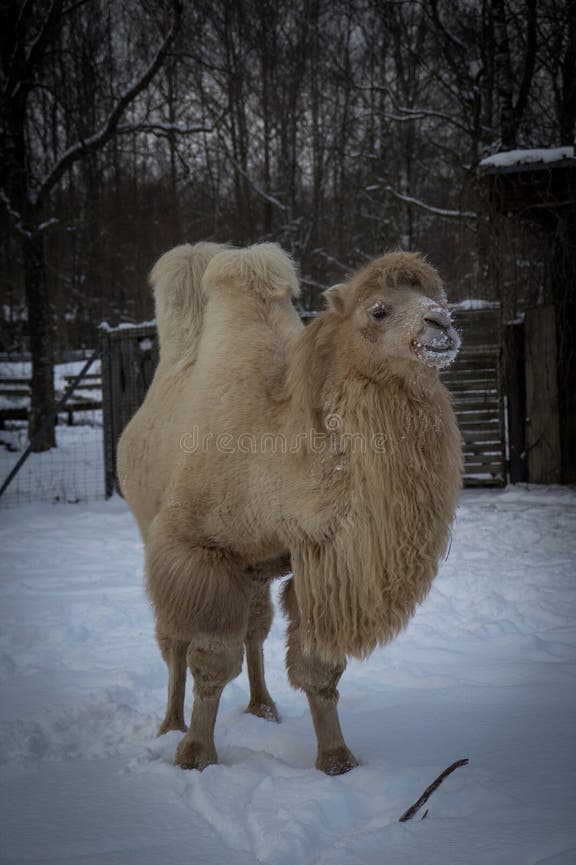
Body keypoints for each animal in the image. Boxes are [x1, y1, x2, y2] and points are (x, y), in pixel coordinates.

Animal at [117, 241, 463, 775]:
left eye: (440, 298)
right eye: (378, 310)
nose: (440, 324)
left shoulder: (316, 556)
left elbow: (319, 668)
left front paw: (337, 759)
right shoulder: (197, 549)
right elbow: (209, 662)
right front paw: (195, 753)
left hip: (256, 568)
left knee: (254, 629)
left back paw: (263, 707)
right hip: (154, 533)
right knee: (173, 637)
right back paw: (171, 722)